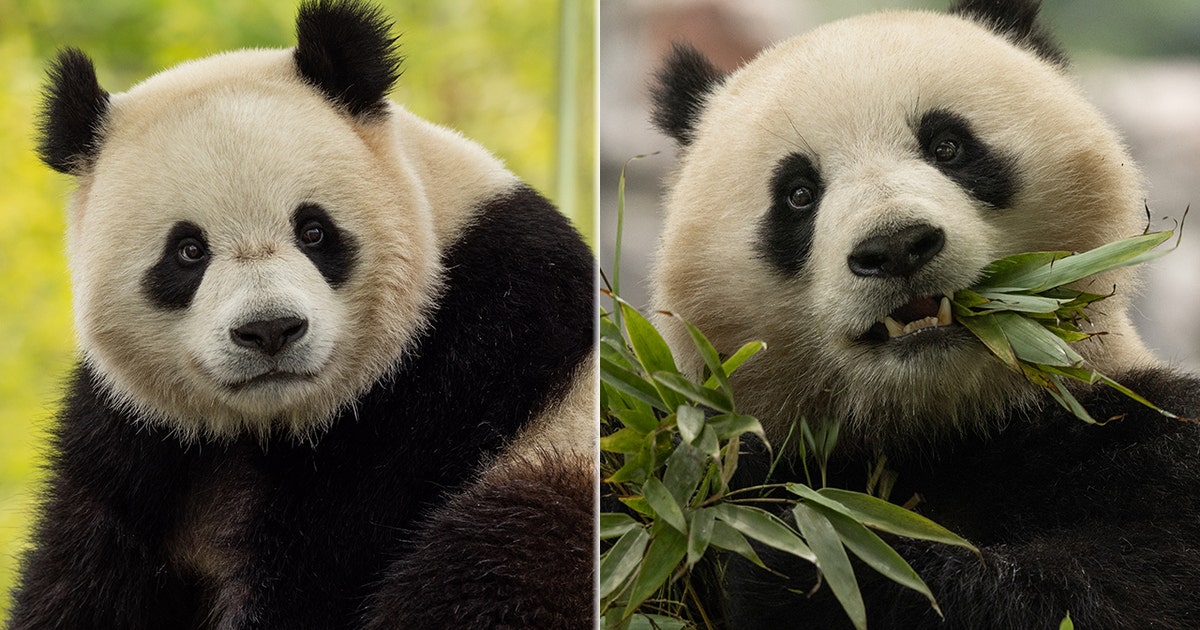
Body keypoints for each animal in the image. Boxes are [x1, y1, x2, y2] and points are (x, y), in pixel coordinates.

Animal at [9, 1, 595, 628]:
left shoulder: (455, 375)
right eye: (188, 250)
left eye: (313, 231)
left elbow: (319, 570)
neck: (269, 425)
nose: (269, 330)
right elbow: (81, 573)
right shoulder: (138, 433)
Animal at [649, 0, 1200, 628]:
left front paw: (813, 557)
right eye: (797, 193)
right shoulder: (730, 449)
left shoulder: (1133, 438)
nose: (896, 246)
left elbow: (1119, 587)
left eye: (948, 146)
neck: (939, 426)